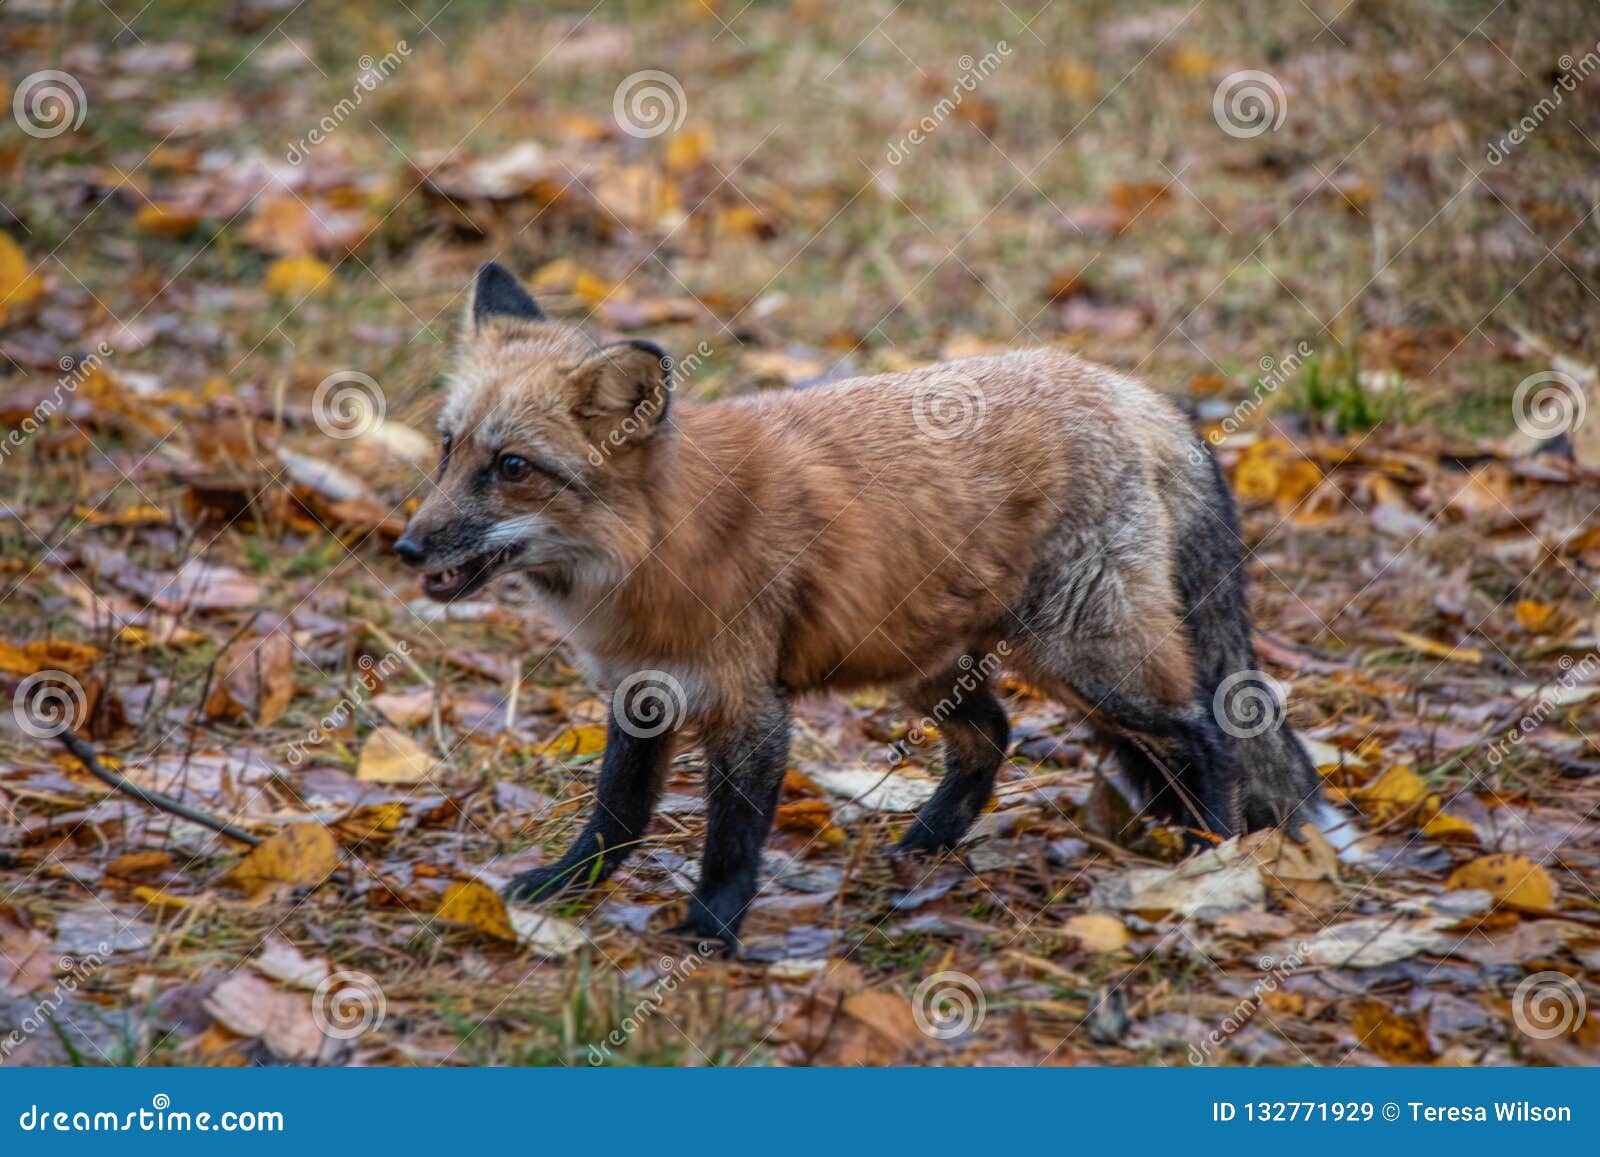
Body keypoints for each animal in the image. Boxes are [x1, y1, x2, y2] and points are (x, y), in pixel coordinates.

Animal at [394, 262, 1328, 948]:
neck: (654, 546)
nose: (405, 548)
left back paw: (1204, 856)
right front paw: (567, 886)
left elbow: (732, 840)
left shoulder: (748, 704)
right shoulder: (644, 690)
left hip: (1085, 661)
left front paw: (709, 932)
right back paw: (923, 847)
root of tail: (1123, 385)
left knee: (1204, 735)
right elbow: (614, 814)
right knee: (994, 738)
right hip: (926, 660)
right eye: (446, 450)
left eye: (512, 467)